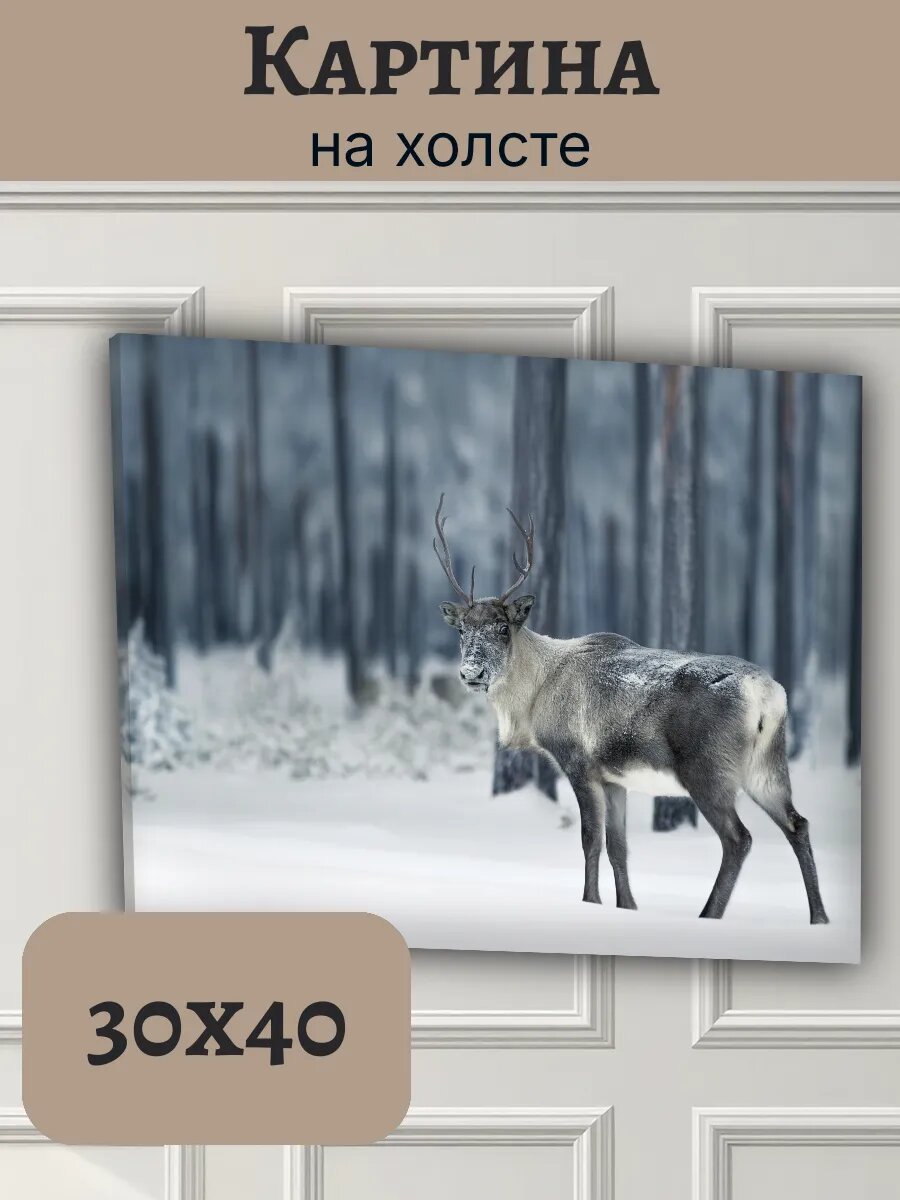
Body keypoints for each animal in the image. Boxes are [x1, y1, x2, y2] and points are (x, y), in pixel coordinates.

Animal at [433, 495, 828, 924]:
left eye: (503, 628)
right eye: (461, 630)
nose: (471, 672)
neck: (535, 697)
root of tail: (768, 694)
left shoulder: (579, 763)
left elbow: (590, 840)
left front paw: (590, 902)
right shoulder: (615, 779)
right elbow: (618, 847)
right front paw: (629, 906)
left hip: (708, 769)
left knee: (739, 838)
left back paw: (709, 914)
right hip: (767, 765)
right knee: (798, 823)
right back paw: (819, 917)